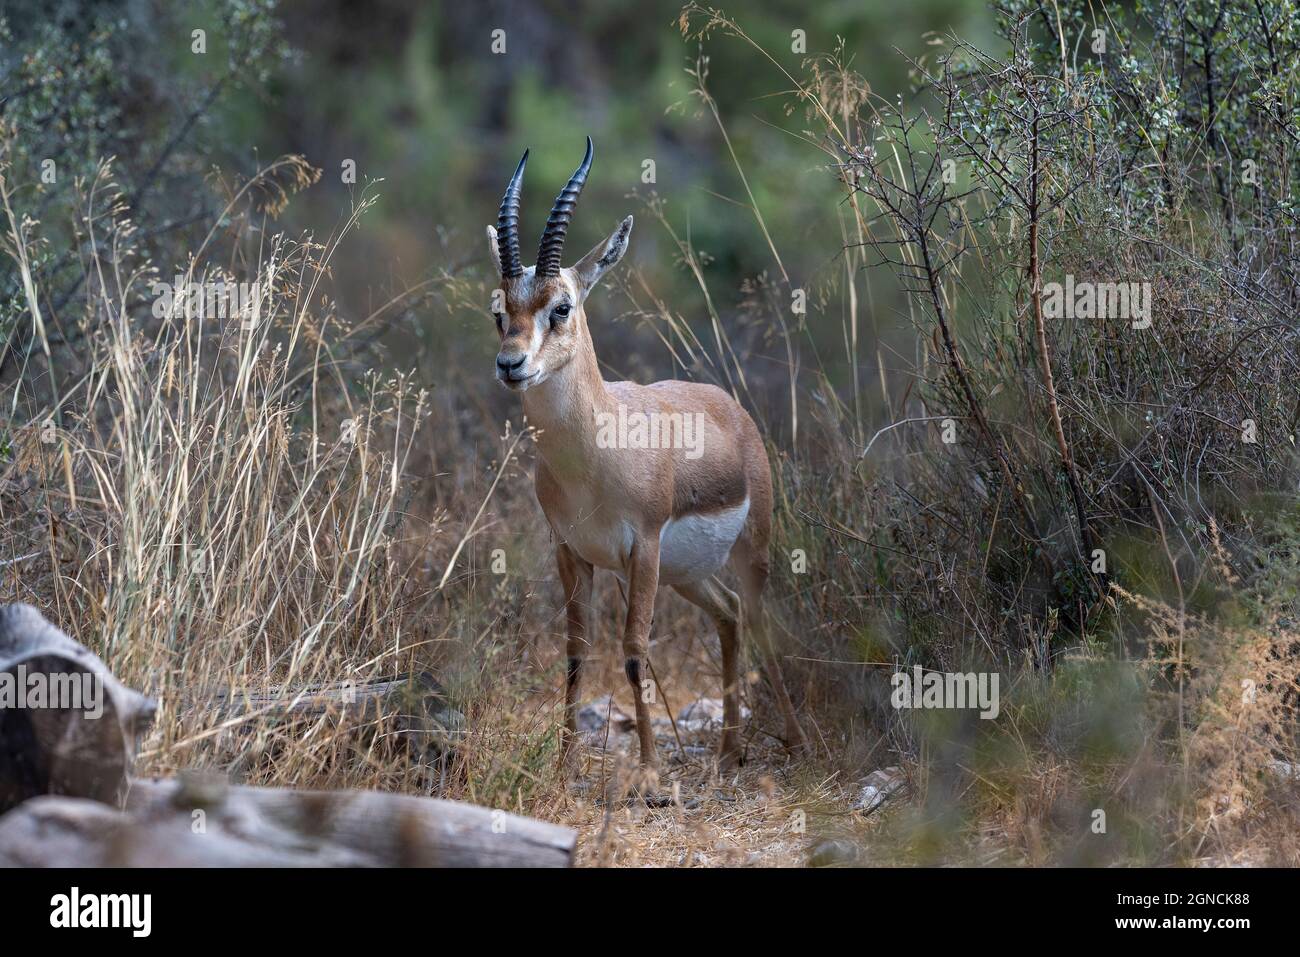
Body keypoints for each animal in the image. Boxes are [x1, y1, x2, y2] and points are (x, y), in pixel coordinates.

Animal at [485, 138, 809, 788]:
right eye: (499, 311)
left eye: (561, 307)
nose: (511, 364)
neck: (595, 456)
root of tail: (731, 407)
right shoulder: (572, 552)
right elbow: (576, 654)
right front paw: (563, 766)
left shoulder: (644, 548)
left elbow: (635, 652)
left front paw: (652, 773)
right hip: (688, 575)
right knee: (729, 616)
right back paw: (728, 752)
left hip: (747, 551)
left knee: (759, 621)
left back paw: (791, 740)